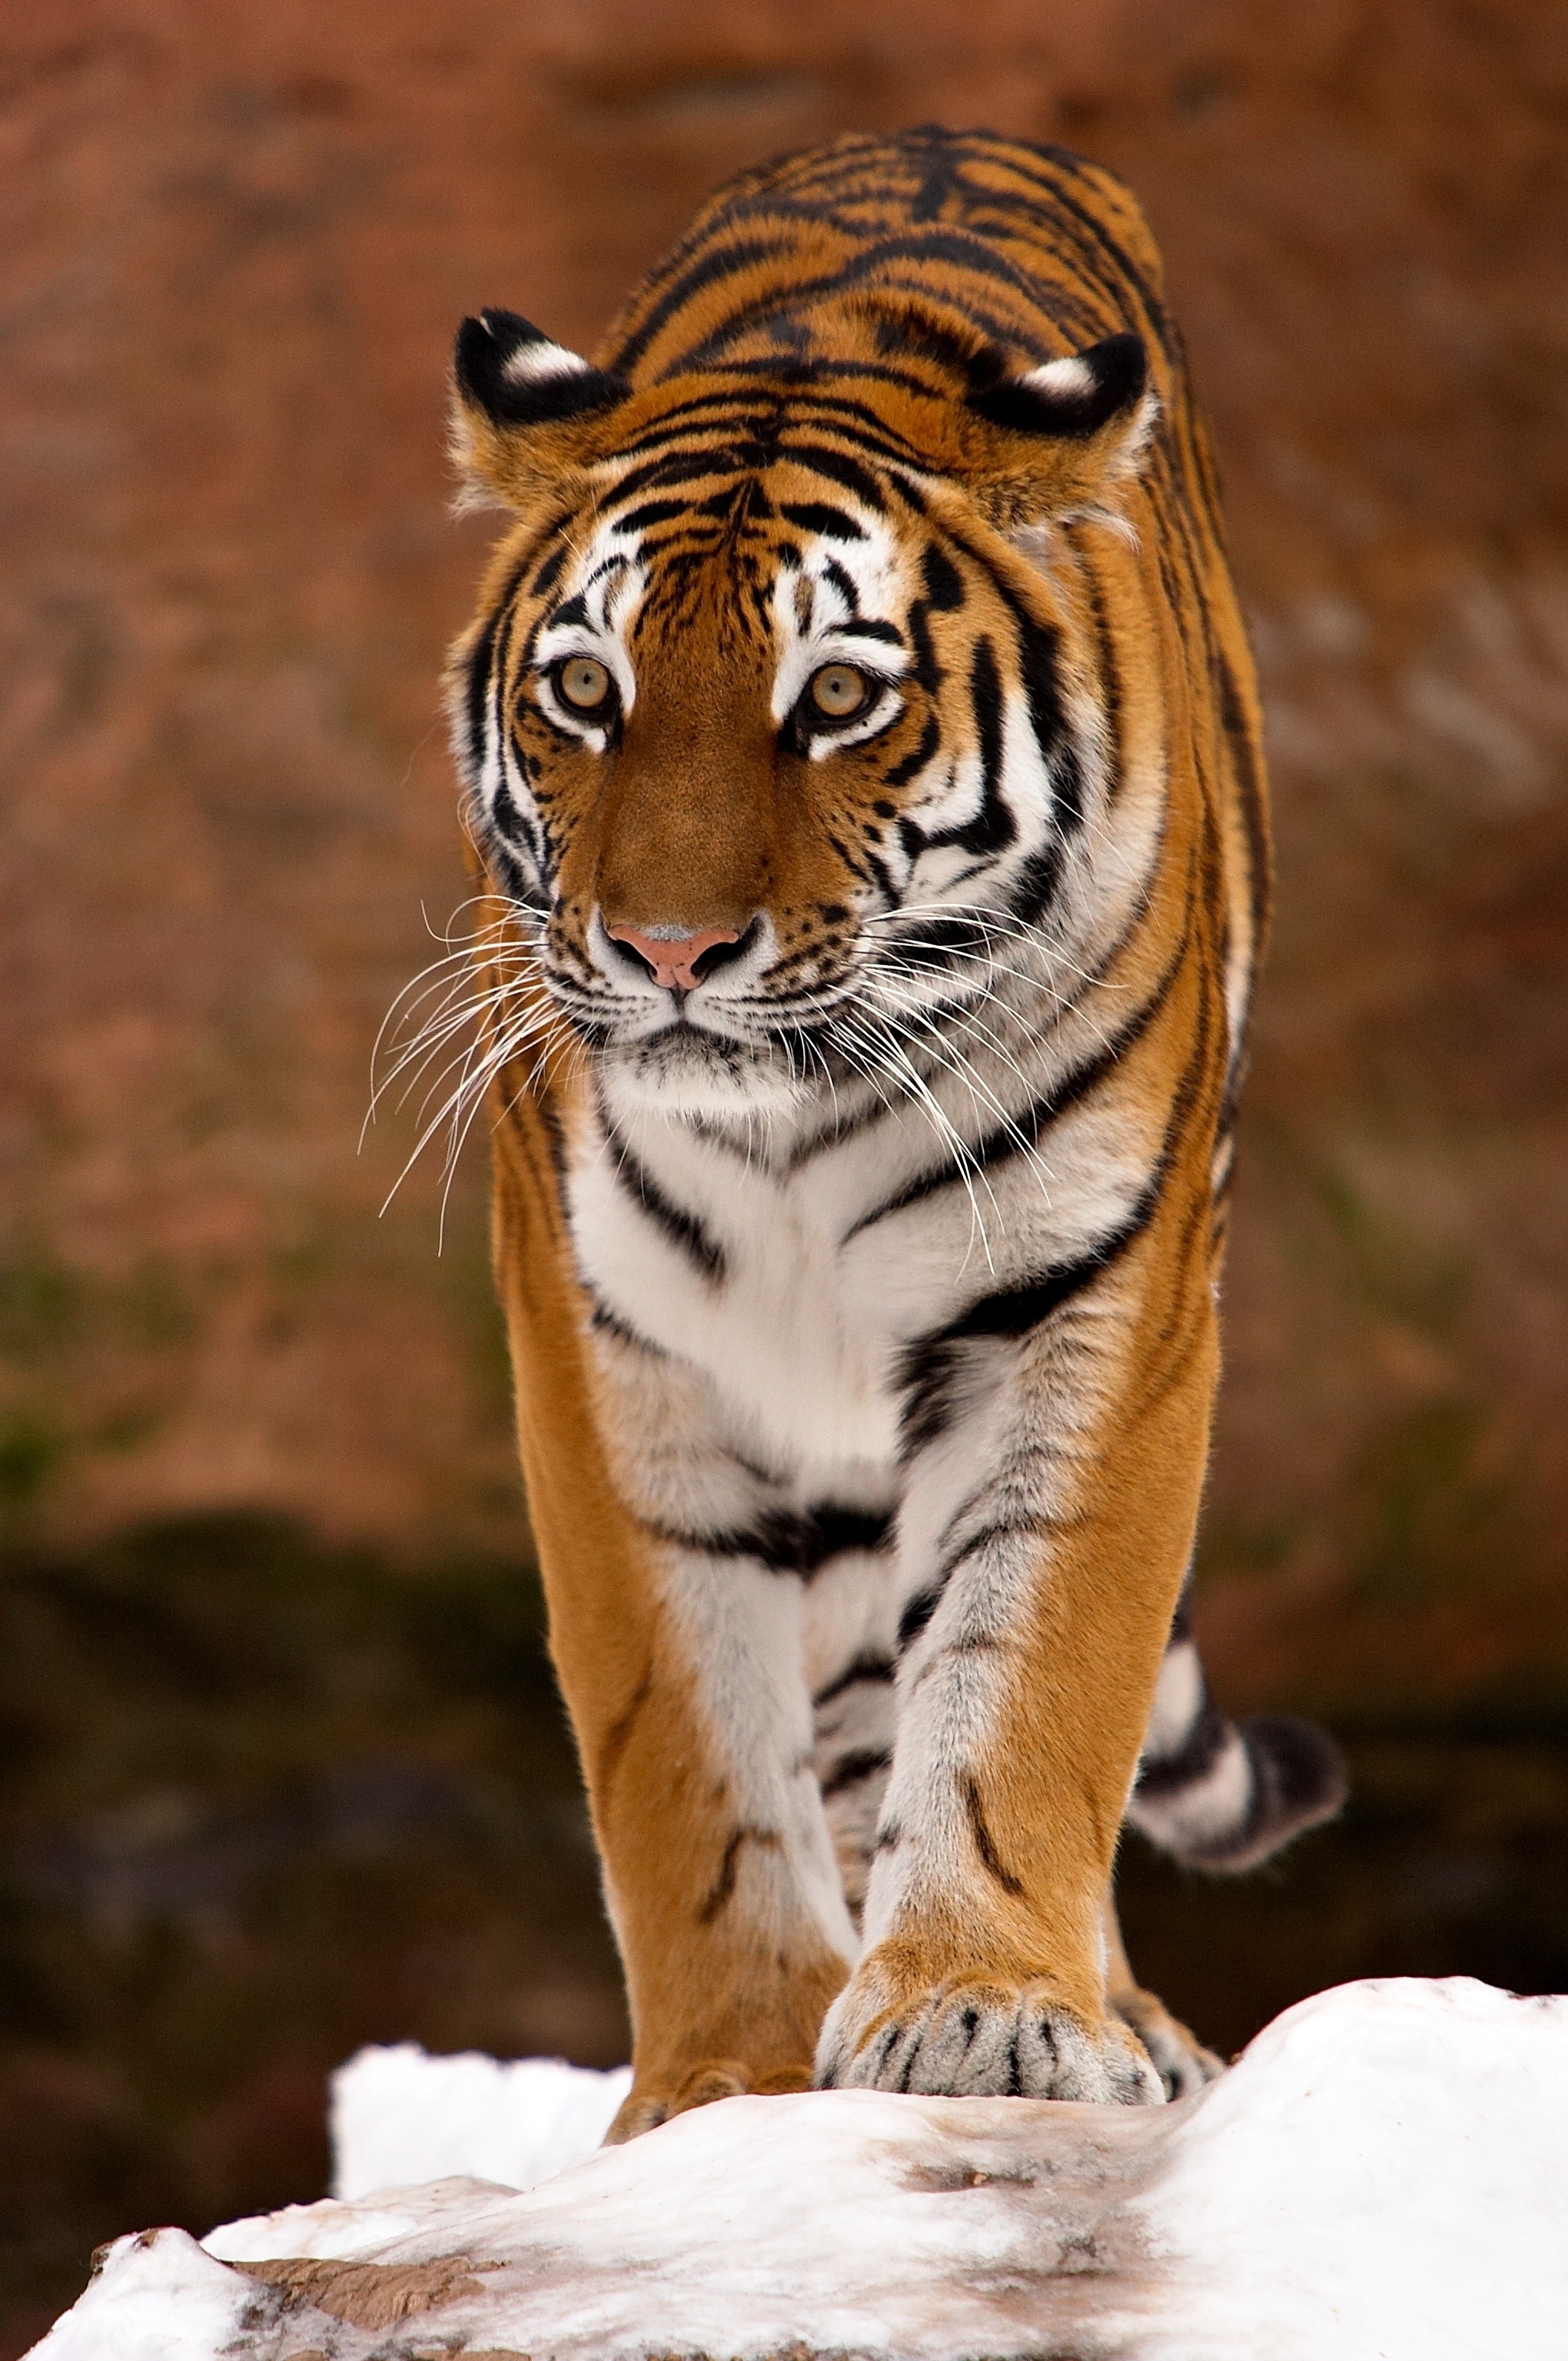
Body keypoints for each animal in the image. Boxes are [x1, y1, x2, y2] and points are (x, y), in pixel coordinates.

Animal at [439, 125, 1344, 2135]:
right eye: (586, 693)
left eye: (837, 698)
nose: (667, 951)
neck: (803, 1113)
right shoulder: (610, 1338)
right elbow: (681, 1743)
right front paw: (727, 2076)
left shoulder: (1091, 1300)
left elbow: (1036, 1668)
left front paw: (986, 2005)